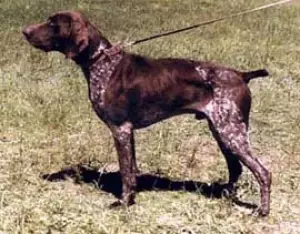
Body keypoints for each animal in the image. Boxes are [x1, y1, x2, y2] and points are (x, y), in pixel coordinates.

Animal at [23, 11, 272, 216]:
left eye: (52, 23)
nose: (24, 31)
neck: (102, 63)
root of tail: (241, 75)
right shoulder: (128, 131)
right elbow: (132, 170)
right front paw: (132, 197)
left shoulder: (120, 129)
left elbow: (125, 173)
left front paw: (124, 203)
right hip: (222, 132)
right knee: (236, 168)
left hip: (232, 133)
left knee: (263, 172)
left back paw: (262, 211)